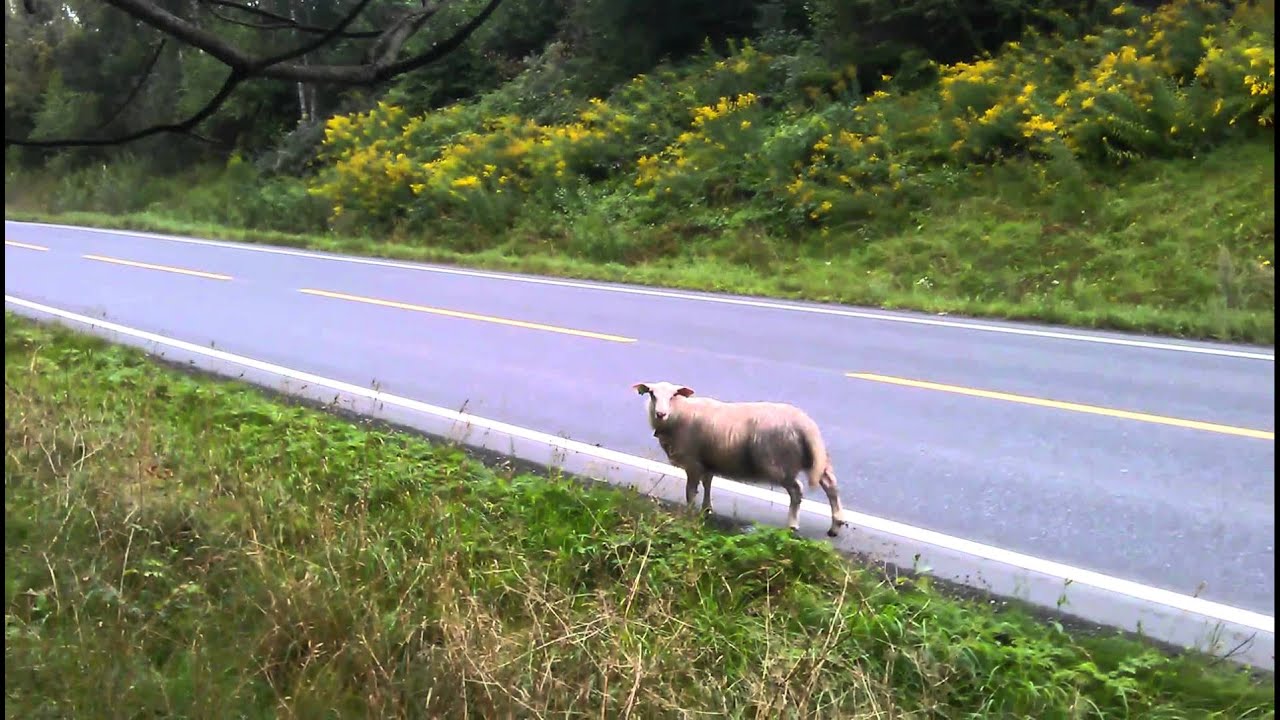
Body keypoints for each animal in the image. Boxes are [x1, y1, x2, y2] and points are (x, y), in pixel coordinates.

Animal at [631, 381, 849, 537]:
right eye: (652, 394)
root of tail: (806, 425)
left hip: (779, 464)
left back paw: (792, 525)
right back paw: (835, 525)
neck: (680, 413)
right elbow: (708, 484)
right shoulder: (708, 461)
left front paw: (690, 512)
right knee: (830, 485)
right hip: (815, 459)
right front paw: (706, 509)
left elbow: (690, 491)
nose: (660, 413)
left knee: (797, 491)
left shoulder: (693, 462)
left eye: (674, 395)